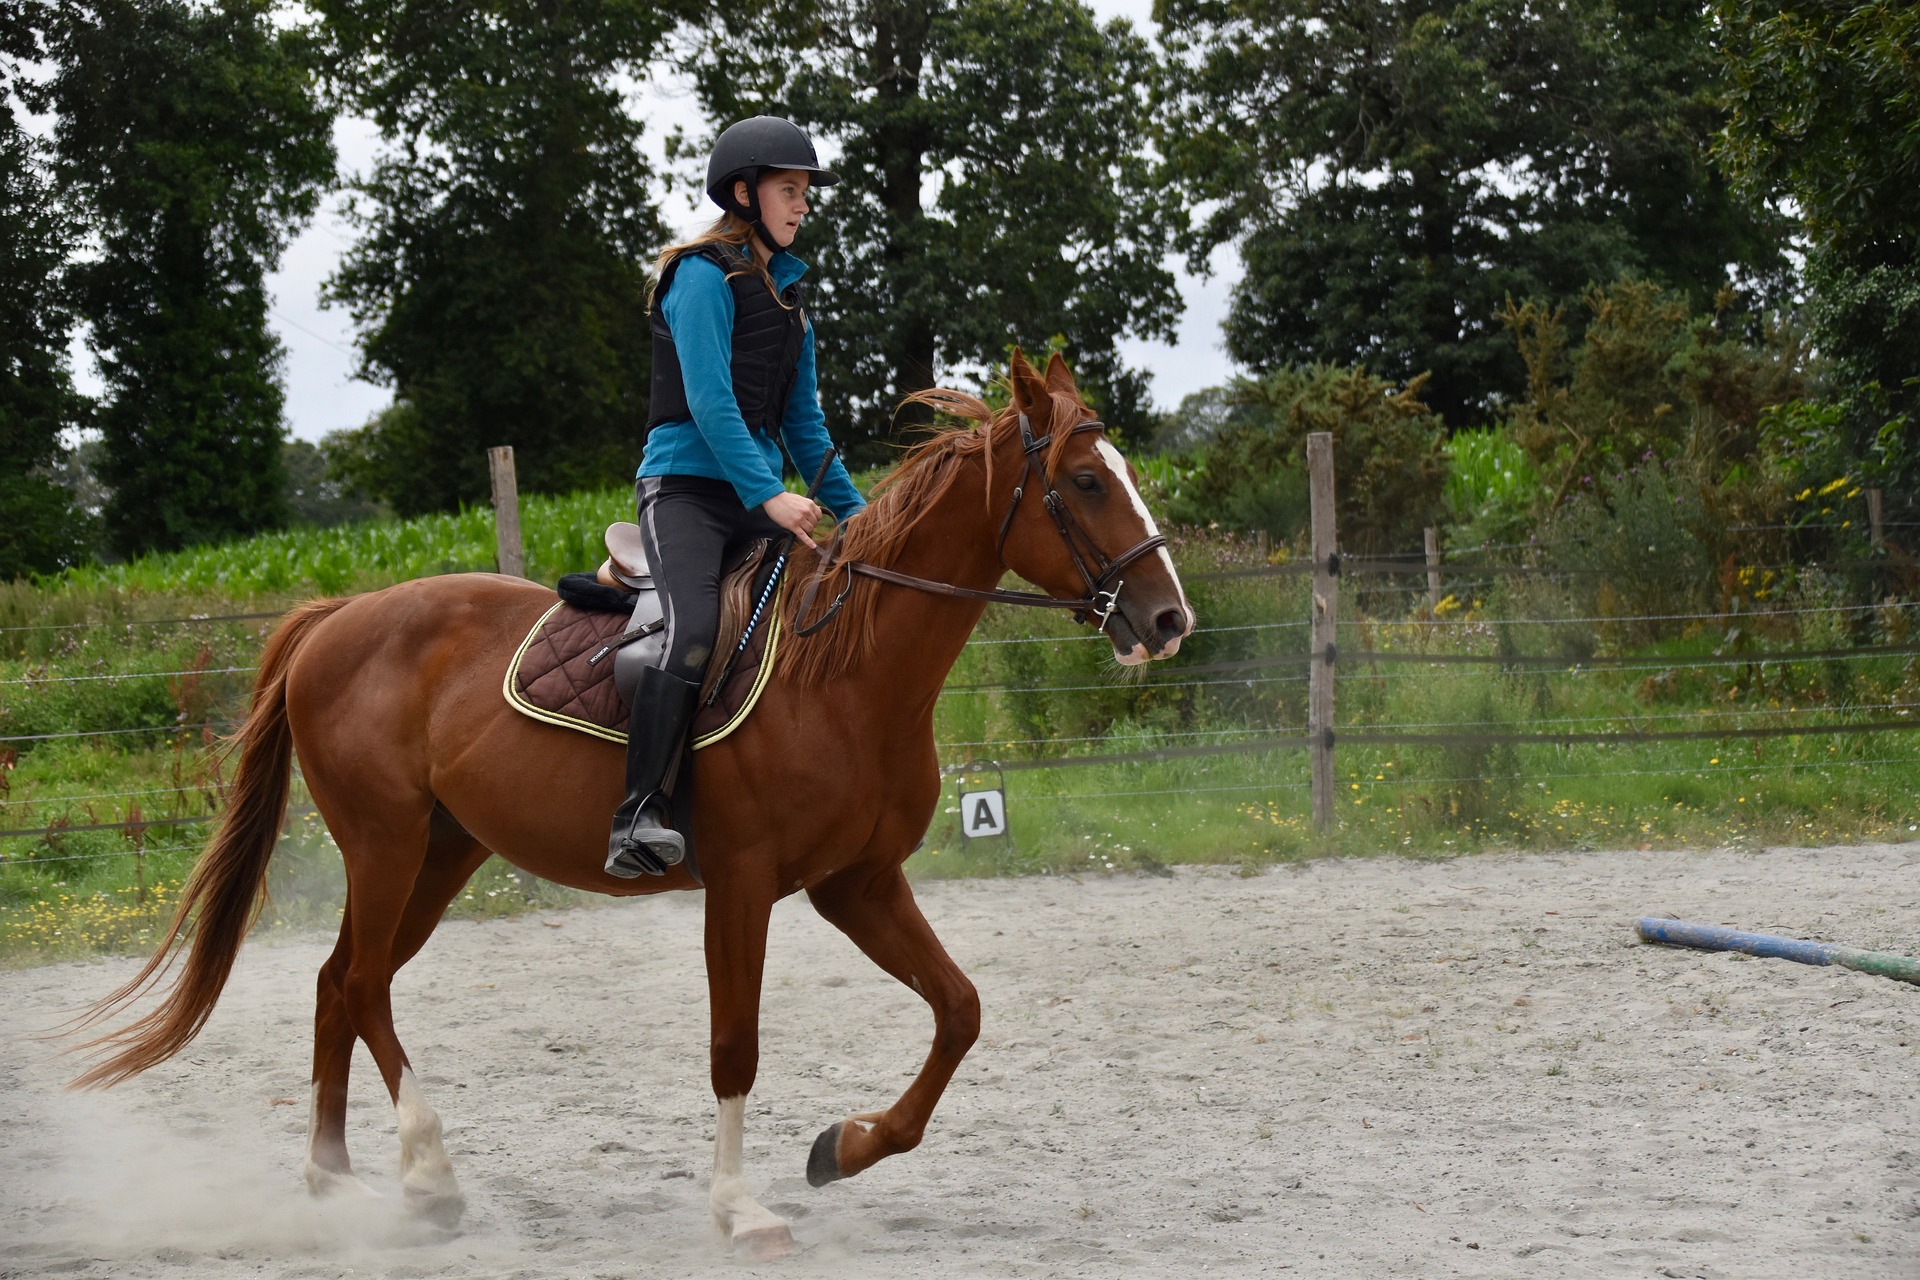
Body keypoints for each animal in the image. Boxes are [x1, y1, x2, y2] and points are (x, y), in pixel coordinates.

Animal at [68, 350, 1193, 1257]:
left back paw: (334, 1179)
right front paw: (743, 1208)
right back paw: (427, 1170)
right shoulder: (741, 886)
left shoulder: (858, 884)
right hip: (384, 843)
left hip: (442, 851)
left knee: (341, 980)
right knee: (359, 985)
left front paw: (845, 1145)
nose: (1168, 618)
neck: (843, 671)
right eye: (1086, 481)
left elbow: (959, 1010)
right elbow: (735, 1043)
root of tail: (340, 614)